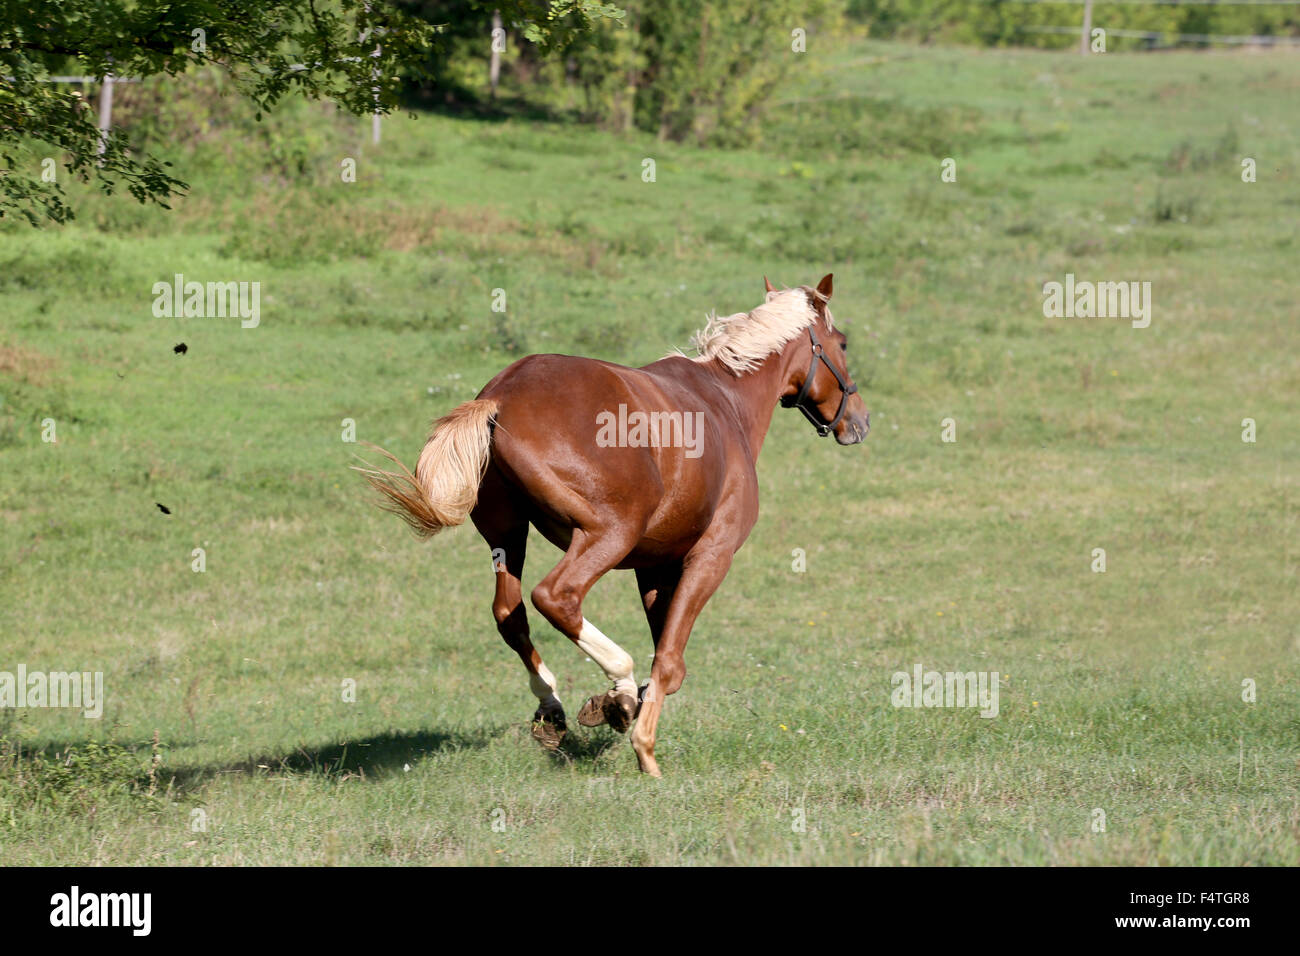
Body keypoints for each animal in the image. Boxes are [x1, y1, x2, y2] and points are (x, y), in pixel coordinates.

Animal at [357, 273, 868, 776]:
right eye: (842, 342)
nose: (860, 420)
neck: (725, 401)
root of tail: (498, 398)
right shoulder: (710, 556)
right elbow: (669, 662)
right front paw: (643, 745)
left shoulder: (655, 566)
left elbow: (665, 655)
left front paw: (625, 707)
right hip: (608, 535)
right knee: (556, 597)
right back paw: (617, 688)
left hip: (508, 537)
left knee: (509, 614)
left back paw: (556, 709)